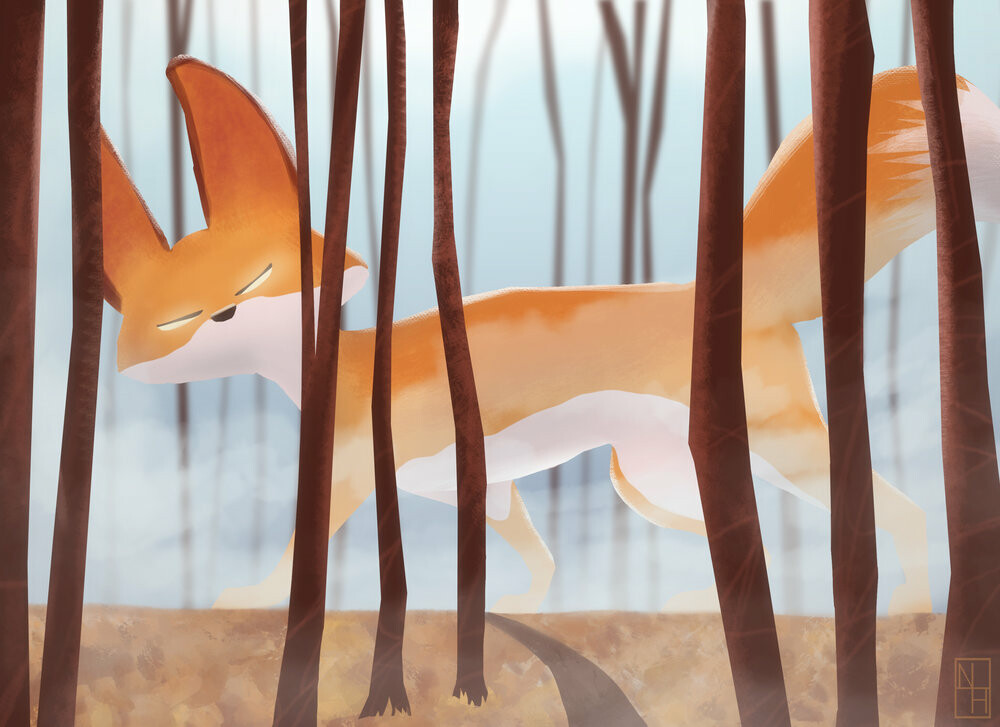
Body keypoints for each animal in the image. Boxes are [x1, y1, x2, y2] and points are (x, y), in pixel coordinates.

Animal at [102, 56, 1000, 615]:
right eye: (144, 316)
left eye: (221, 310)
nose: (132, 365)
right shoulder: (482, 487)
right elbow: (537, 558)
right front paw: (524, 609)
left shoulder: (358, 477)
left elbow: (301, 554)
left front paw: (255, 597)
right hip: (652, 479)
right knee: (750, 546)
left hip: (773, 444)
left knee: (894, 508)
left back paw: (913, 602)